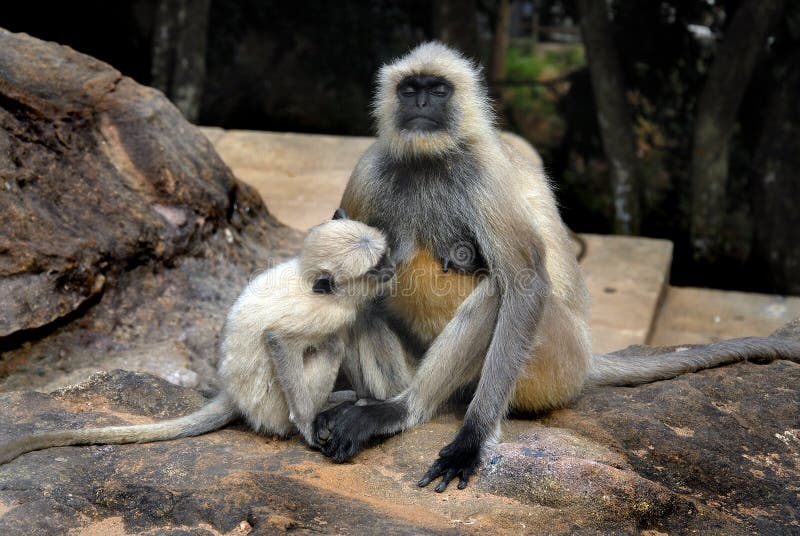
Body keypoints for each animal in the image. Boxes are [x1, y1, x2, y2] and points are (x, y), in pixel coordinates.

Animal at [0, 212, 401, 464]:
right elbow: (278, 340)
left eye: (383, 256)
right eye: (375, 268)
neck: (308, 280)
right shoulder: (326, 312)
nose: (393, 268)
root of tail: (234, 395)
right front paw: (306, 425)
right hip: (272, 409)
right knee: (331, 344)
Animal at [311, 42, 800, 493]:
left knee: (498, 291)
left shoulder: (484, 174)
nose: (421, 105)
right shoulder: (369, 169)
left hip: (551, 361)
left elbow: (524, 284)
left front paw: (470, 441)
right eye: (410, 90)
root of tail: (586, 357)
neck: (428, 160)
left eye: (437, 90)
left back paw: (403, 409)